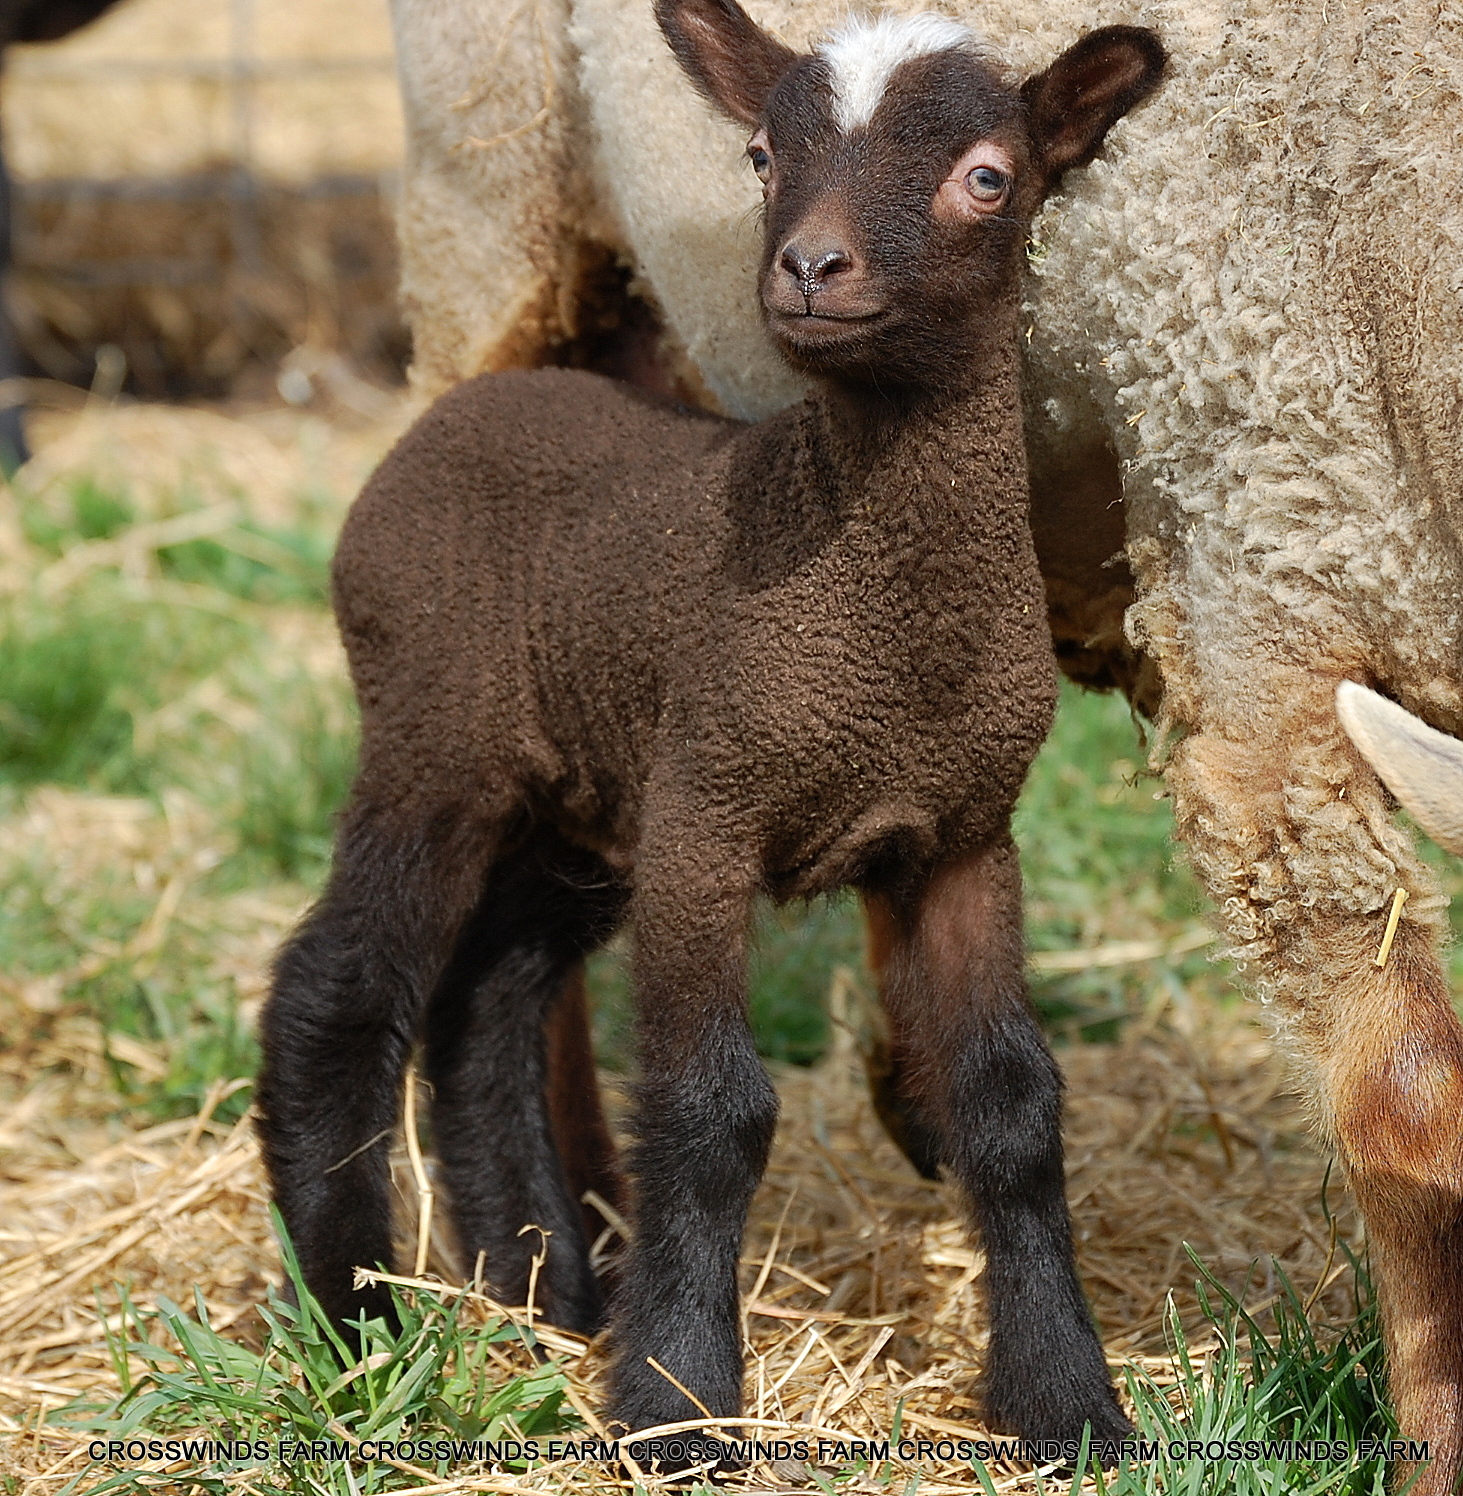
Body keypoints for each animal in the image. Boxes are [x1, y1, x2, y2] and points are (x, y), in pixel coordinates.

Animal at [257, 5, 1166, 1458]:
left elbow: (1012, 1107)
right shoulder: (709, 813)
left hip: (577, 796)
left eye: (988, 176)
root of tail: (463, 407)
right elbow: (707, 1110)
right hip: (434, 733)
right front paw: (676, 1404)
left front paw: (1068, 1404)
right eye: (758, 156)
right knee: (336, 994)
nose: (807, 268)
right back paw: (356, 1328)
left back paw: (544, 1290)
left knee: (485, 998)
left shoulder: (962, 834)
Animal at [388, 0, 1463, 1485]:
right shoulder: (1257, 596)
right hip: (489, 200)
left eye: (986, 176)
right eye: (757, 153)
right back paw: (570, 1243)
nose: (807, 263)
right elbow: (1411, 1108)